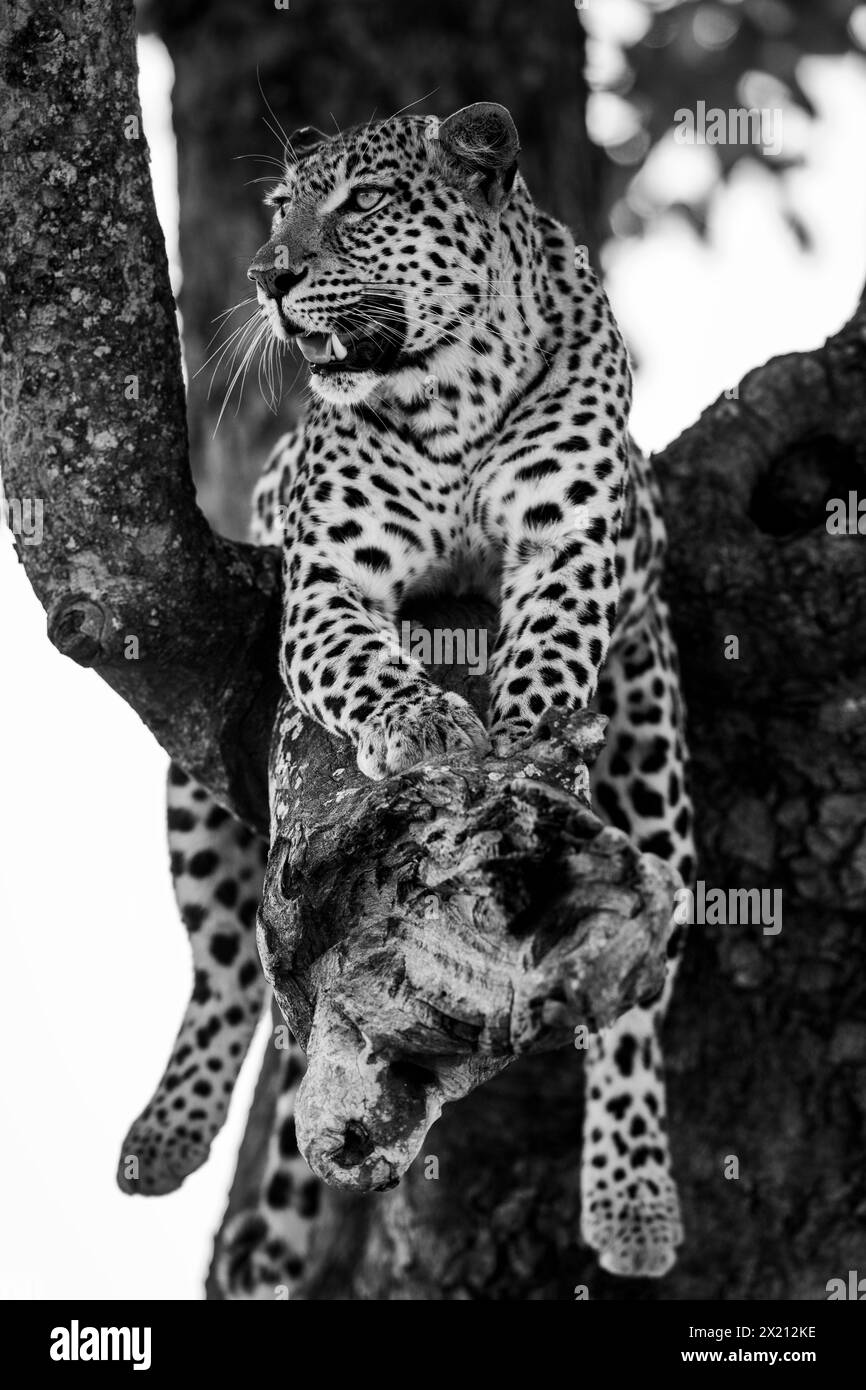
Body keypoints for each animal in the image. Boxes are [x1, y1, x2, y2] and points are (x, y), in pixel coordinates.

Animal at [117, 102, 695, 1296]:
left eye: (363, 204)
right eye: (278, 206)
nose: (268, 275)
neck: (455, 393)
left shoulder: (569, 550)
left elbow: (549, 653)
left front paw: (520, 739)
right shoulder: (327, 584)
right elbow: (360, 661)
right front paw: (423, 723)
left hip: (658, 776)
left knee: (626, 998)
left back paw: (630, 1199)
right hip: (194, 805)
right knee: (226, 969)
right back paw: (167, 1134)